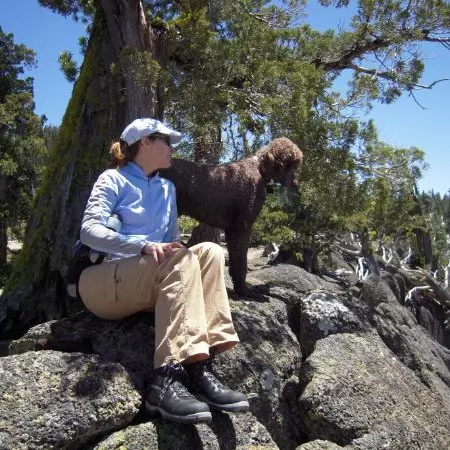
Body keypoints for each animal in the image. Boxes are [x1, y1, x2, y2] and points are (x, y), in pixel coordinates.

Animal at [161, 139, 302, 298]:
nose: (296, 183)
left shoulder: (232, 228)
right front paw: (244, 290)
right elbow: (240, 261)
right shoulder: (241, 226)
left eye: (295, 165)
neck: (258, 169)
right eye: (288, 164)